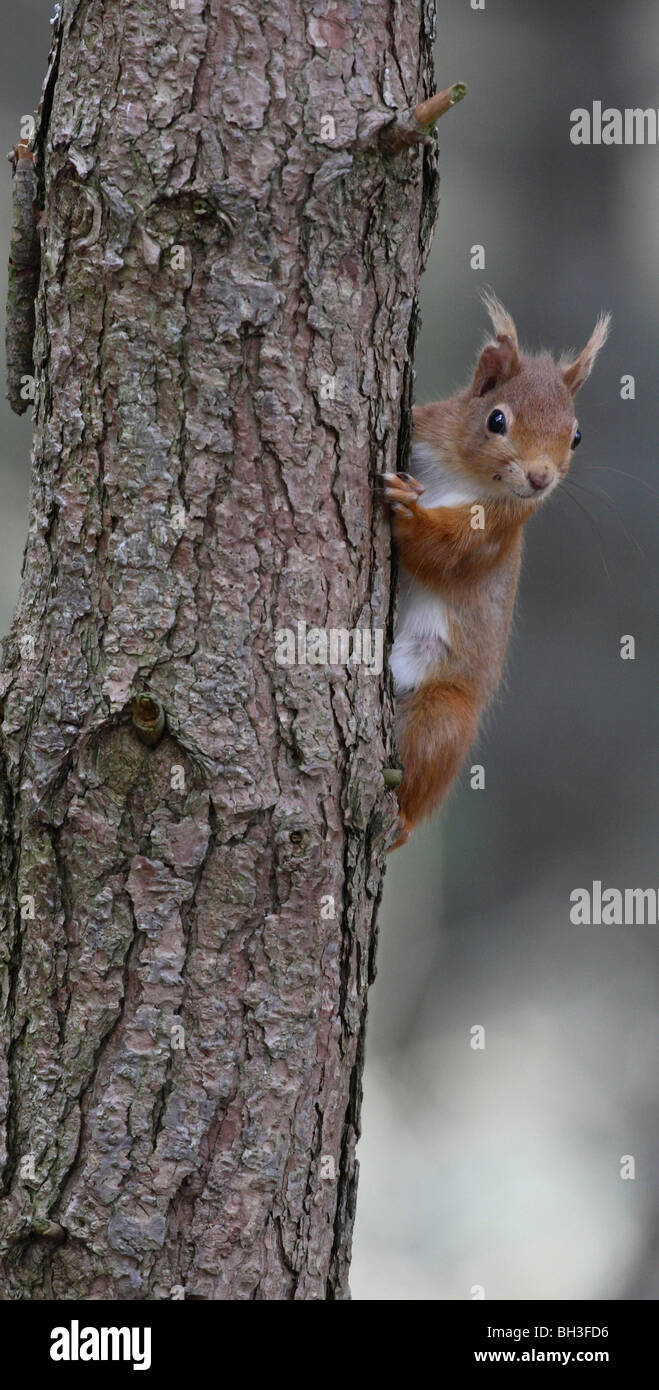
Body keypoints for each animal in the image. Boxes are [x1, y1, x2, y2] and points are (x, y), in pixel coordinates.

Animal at [380, 292, 610, 849]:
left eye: (576, 436)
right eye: (497, 420)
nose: (540, 477)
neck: (464, 472)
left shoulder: (493, 535)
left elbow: (441, 551)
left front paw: (408, 512)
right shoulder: (427, 429)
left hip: (443, 715)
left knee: (422, 768)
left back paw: (402, 818)